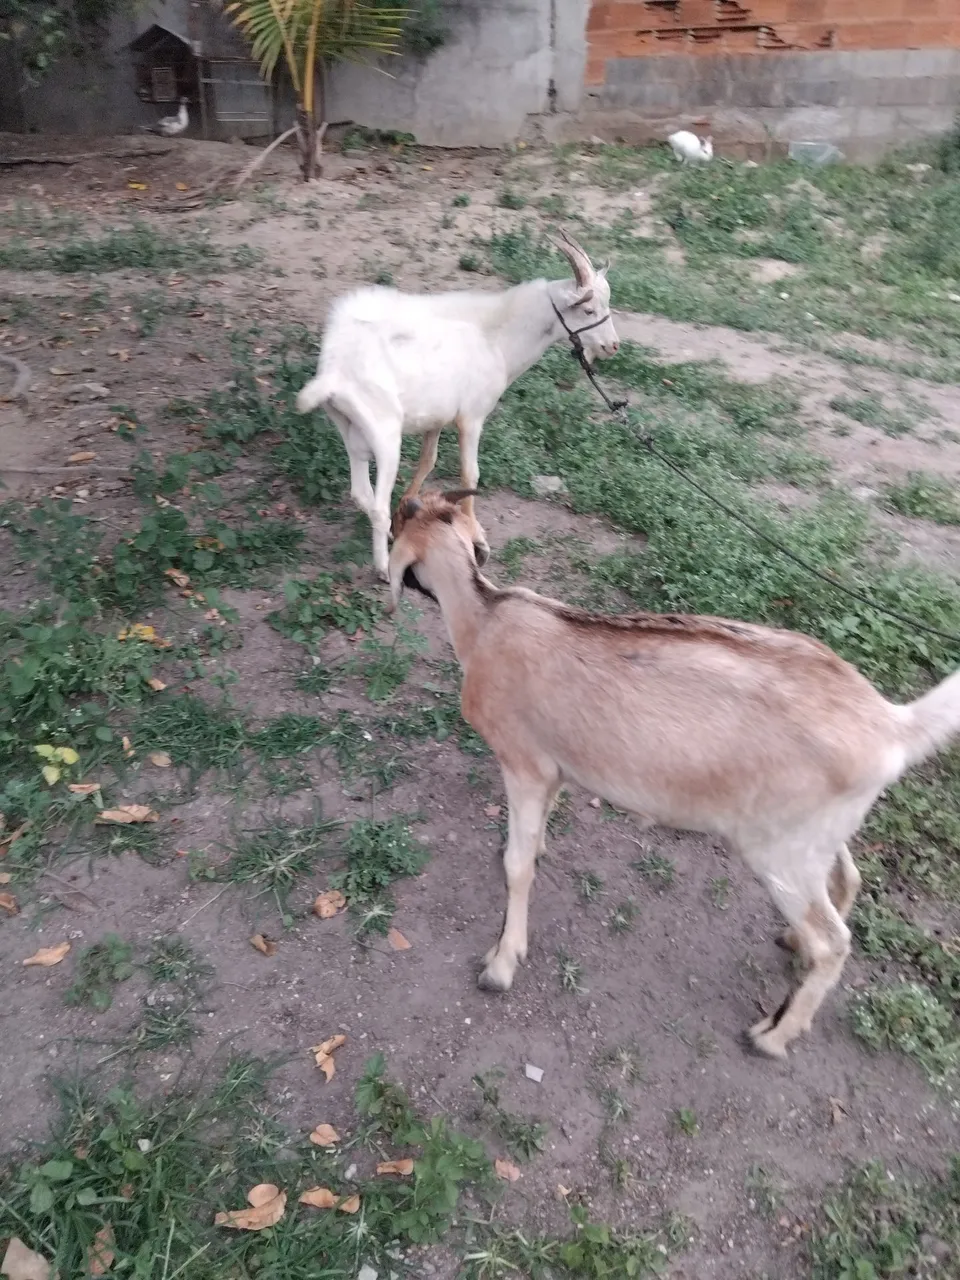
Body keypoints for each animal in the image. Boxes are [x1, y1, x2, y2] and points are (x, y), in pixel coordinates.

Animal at [294, 231, 619, 580]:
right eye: (588, 311)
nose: (613, 346)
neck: (496, 338)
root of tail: (334, 373)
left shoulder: (435, 417)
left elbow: (428, 460)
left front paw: (411, 510)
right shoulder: (472, 418)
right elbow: (470, 474)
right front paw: (478, 539)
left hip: (351, 430)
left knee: (360, 491)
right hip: (385, 435)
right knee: (378, 503)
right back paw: (383, 566)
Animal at [387, 490, 960, 1059]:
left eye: (395, 530)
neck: (484, 619)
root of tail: (890, 724)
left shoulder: (523, 762)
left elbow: (517, 866)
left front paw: (501, 964)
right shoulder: (553, 767)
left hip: (781, 853)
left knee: (834, 941)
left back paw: (774, 1035)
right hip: (814, 833)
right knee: (847, 881)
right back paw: (792, 944)